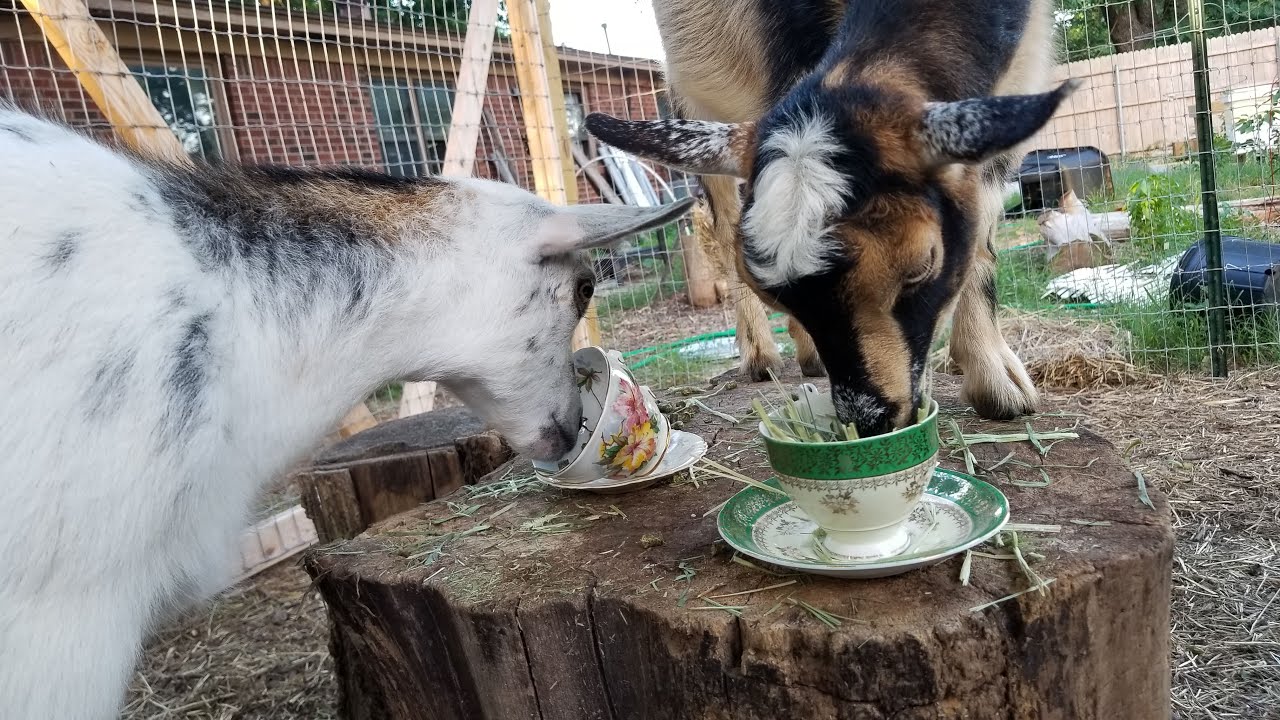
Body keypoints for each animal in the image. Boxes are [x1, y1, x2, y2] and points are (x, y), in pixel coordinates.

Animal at [586, 0, 1072, 436]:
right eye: (772, 294)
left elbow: (982, 224)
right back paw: (763, 353)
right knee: (723, 225)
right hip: (690, 98)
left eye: (921, 267)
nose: (870, 421)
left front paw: (992, 376)